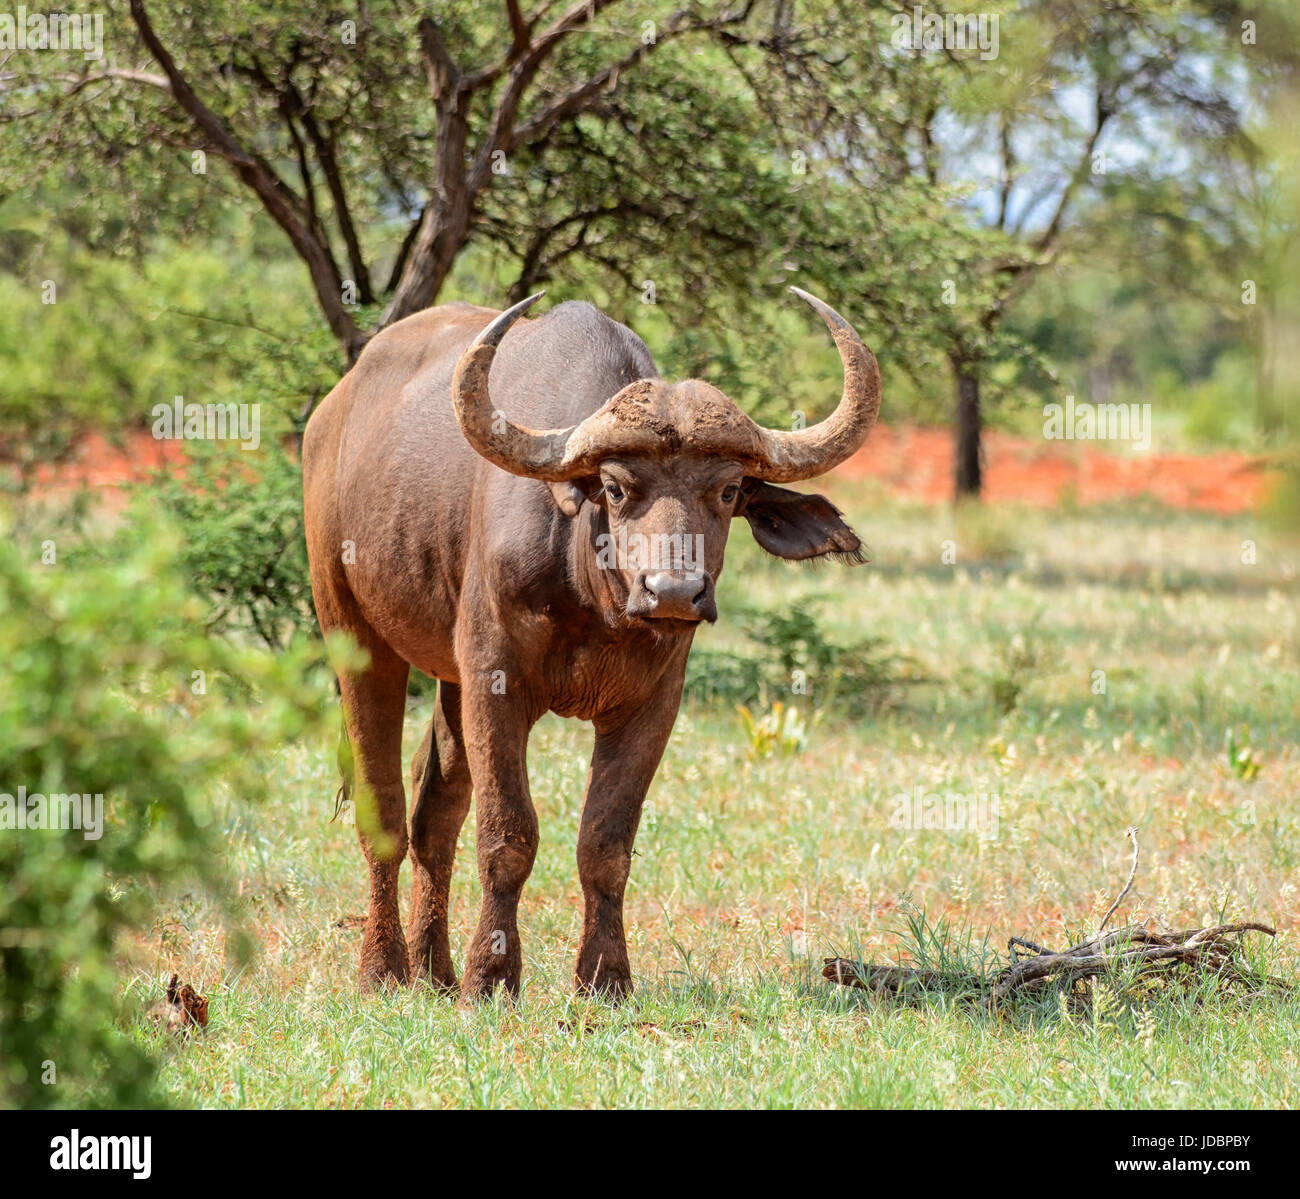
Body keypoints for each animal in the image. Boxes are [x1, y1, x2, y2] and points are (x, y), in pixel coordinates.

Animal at [302, 288, 881, 997]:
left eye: (727, 491)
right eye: (615, 487)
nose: (673, 591)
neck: (593, 597)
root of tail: (331, 416)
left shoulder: (652, 704)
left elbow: (605, 844)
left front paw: (605, 978)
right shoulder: (496, 682)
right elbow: (508, 835)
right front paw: (492, 976)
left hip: (448, 677)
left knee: (434, 807)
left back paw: (434, 971)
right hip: (352, 630)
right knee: (382, 807)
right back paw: (384, 968)